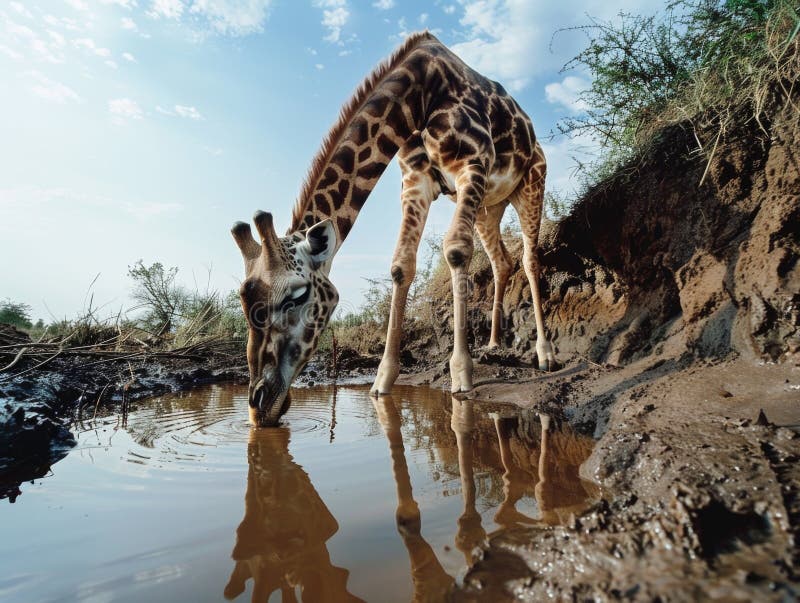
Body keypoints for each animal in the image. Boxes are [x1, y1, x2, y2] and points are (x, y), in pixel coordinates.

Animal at [231, 31, 555, 426]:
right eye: (243, 303)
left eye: (297, 296)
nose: (258, 407)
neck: (419, 96)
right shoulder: (416, 182)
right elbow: (401, 265)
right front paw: (383, 380)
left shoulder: (473, 165)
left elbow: (455, 249)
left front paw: (461, 373)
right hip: (488, 207)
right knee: (501, 261)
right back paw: (494, 345)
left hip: (531, 183)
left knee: (529, 259)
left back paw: (545, 354)